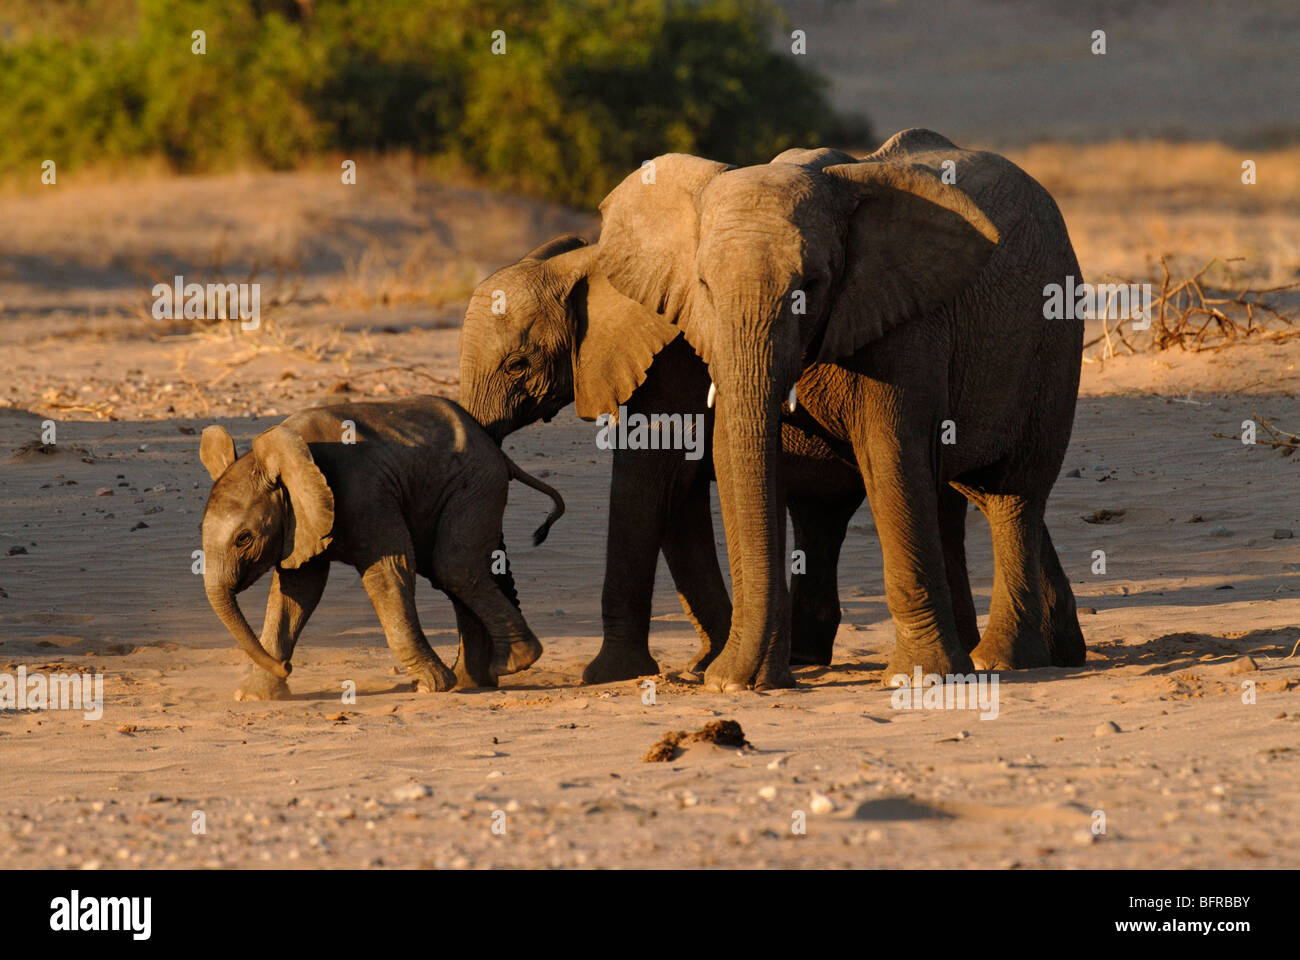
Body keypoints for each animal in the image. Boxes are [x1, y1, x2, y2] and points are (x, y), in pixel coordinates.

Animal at [197, 396, 564, 700]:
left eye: (243, 538)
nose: (287, 667)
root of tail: (498, 451)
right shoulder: (300, 521)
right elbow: (297, 591)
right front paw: (254, 697)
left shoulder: (366, 493)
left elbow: (389, 571)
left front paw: (433, 686)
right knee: (451, 574)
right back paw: (474, 679)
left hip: (475, 484)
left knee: (454, 566)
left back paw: (511, 663)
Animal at [458, 235, 866, 683]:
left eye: (516, 365)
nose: (481, 674)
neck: (586, 263)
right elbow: (678, 498)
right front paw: (709, 663)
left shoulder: (676, 359)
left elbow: (649, 477)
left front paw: (609, 674)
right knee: (821, 515)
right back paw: (803, 657)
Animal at [595, 128, 1086, 691]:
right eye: (703, 286)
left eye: (810, 286)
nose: (735, 682)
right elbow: (738, 456)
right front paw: (744, 679)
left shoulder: (903, 316)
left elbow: (890, 454)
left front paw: (919, 679)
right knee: (915, 498)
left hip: (1055, 338)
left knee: (1013, 495)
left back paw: (1001, 661)